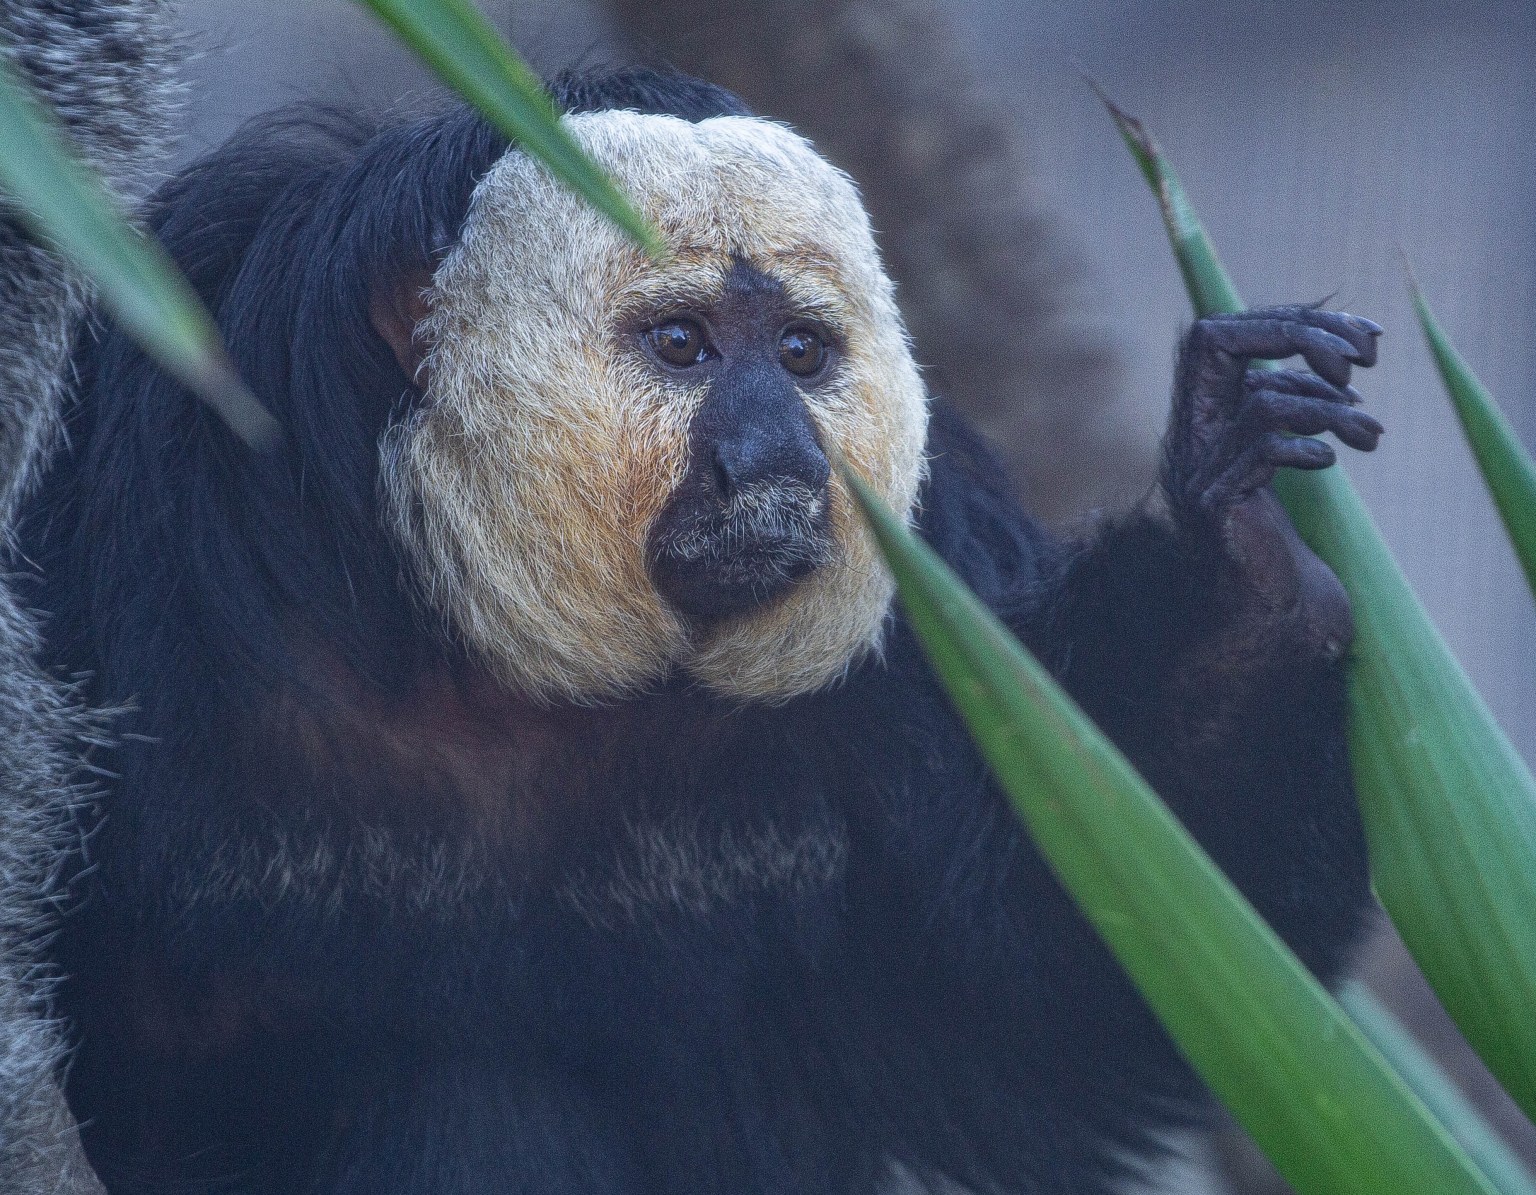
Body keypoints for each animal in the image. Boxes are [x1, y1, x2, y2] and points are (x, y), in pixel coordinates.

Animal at [6, 65, 1382, 1195]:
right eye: (683, 345)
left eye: (802, 353)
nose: (778, 457)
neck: (467, 643)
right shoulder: (117, 510)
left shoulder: (931, 574)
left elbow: (1055, 968)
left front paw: (1239, 555)